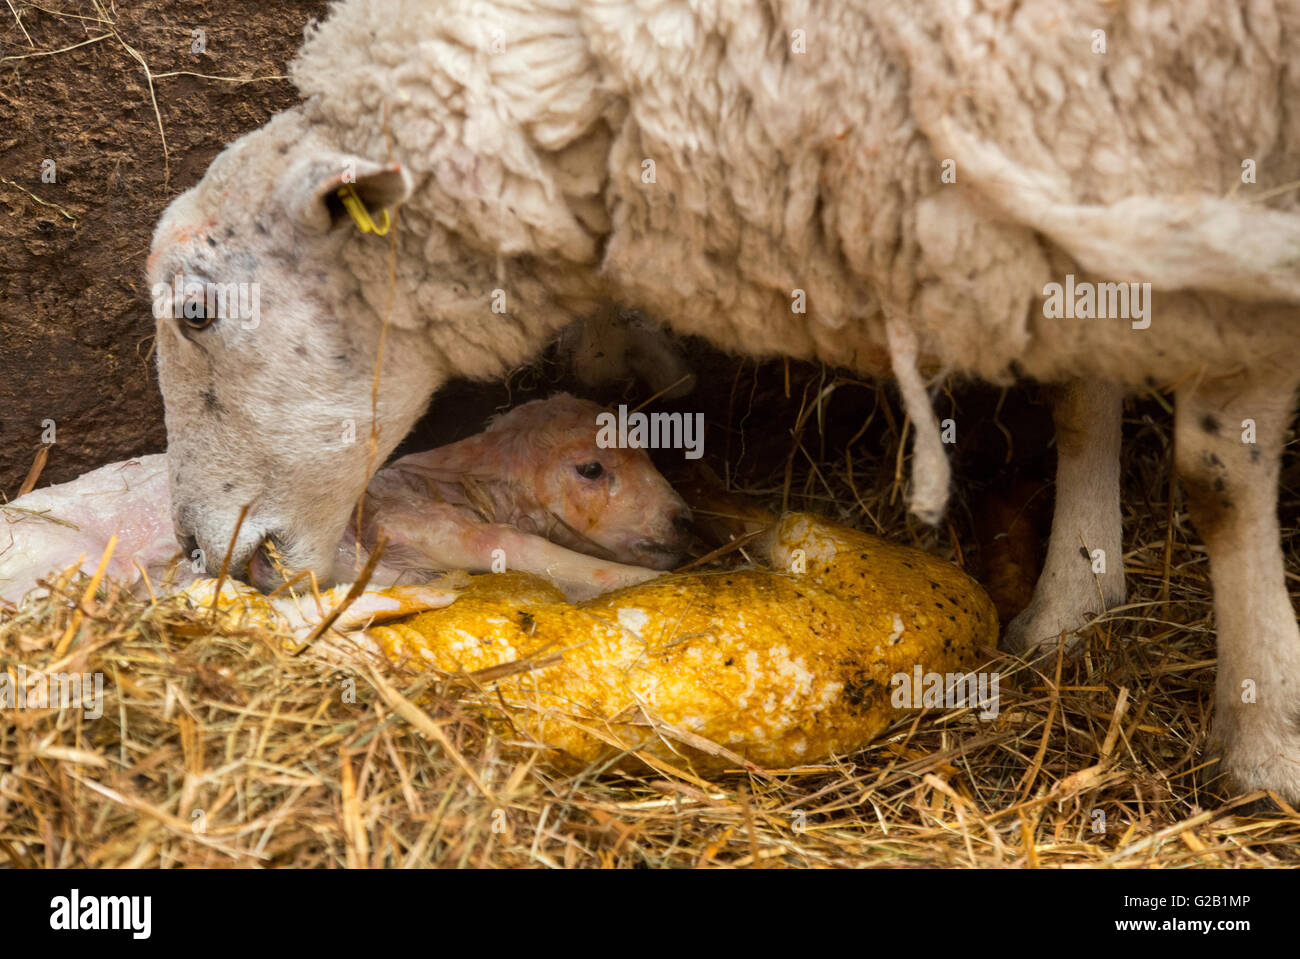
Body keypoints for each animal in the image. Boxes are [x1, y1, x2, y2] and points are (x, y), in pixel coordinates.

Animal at [147, 0, 1300, 799]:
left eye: (195, 313)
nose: (205, 547)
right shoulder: (1083, 178)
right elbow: (1078, 391)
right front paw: (1075, 591)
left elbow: (1216, 478)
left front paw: (1263, 738)